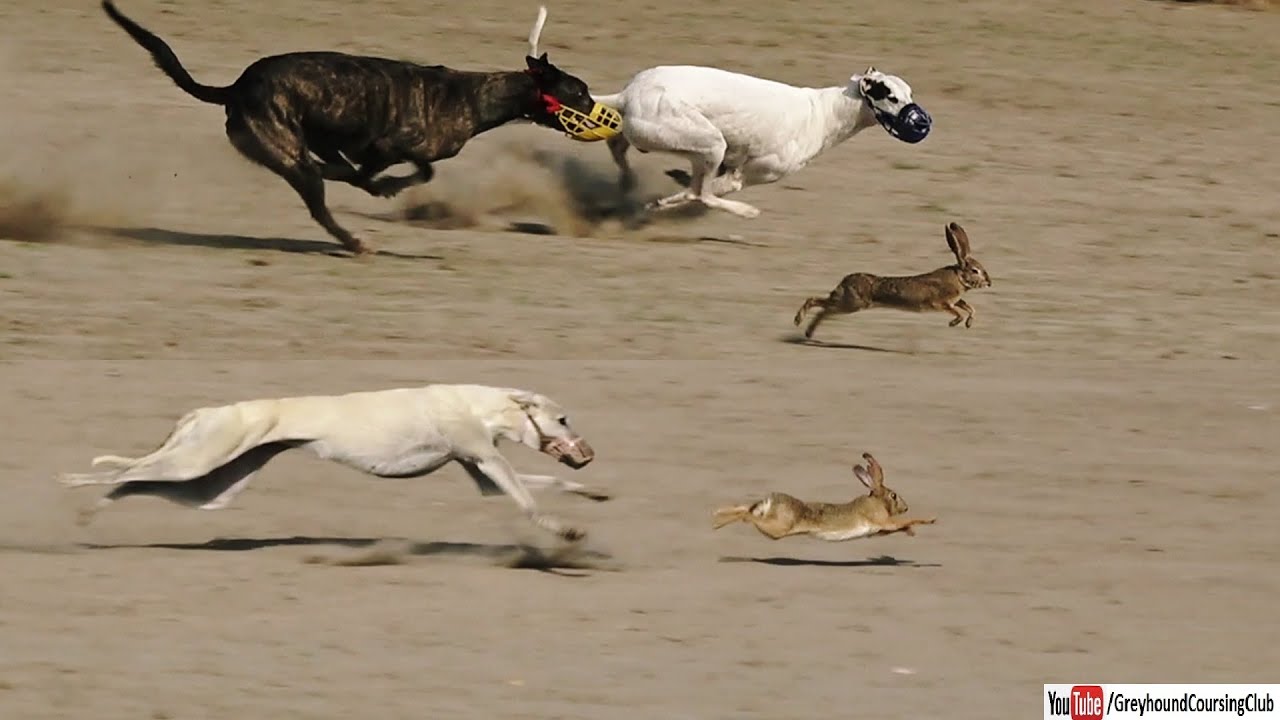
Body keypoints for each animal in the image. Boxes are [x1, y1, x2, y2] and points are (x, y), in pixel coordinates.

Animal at [711, 452, 937, 541]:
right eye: (894, 495)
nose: (905, 507)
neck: (876, 501)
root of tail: (770, 502)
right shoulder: (883, 521)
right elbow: (908, 520)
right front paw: (930, 519)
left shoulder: (880, 530)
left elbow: (902, 526)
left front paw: (911, 532)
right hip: (778, 529)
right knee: (747, 516)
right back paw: (717, 524)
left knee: (745, 509)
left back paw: (716, 513)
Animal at [792, 221, 992, 341]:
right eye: (975, 271)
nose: (989, 283)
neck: (959, 276)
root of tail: (845, 281)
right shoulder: (940, 303)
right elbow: (957, 312)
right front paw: (954, 323)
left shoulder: (956, 300)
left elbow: (970, 308)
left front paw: (969, 323)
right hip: (852, 304)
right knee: (821, 306)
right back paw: (800, 323)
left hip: (848, 302)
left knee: (822, 305)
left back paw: (807, 331)